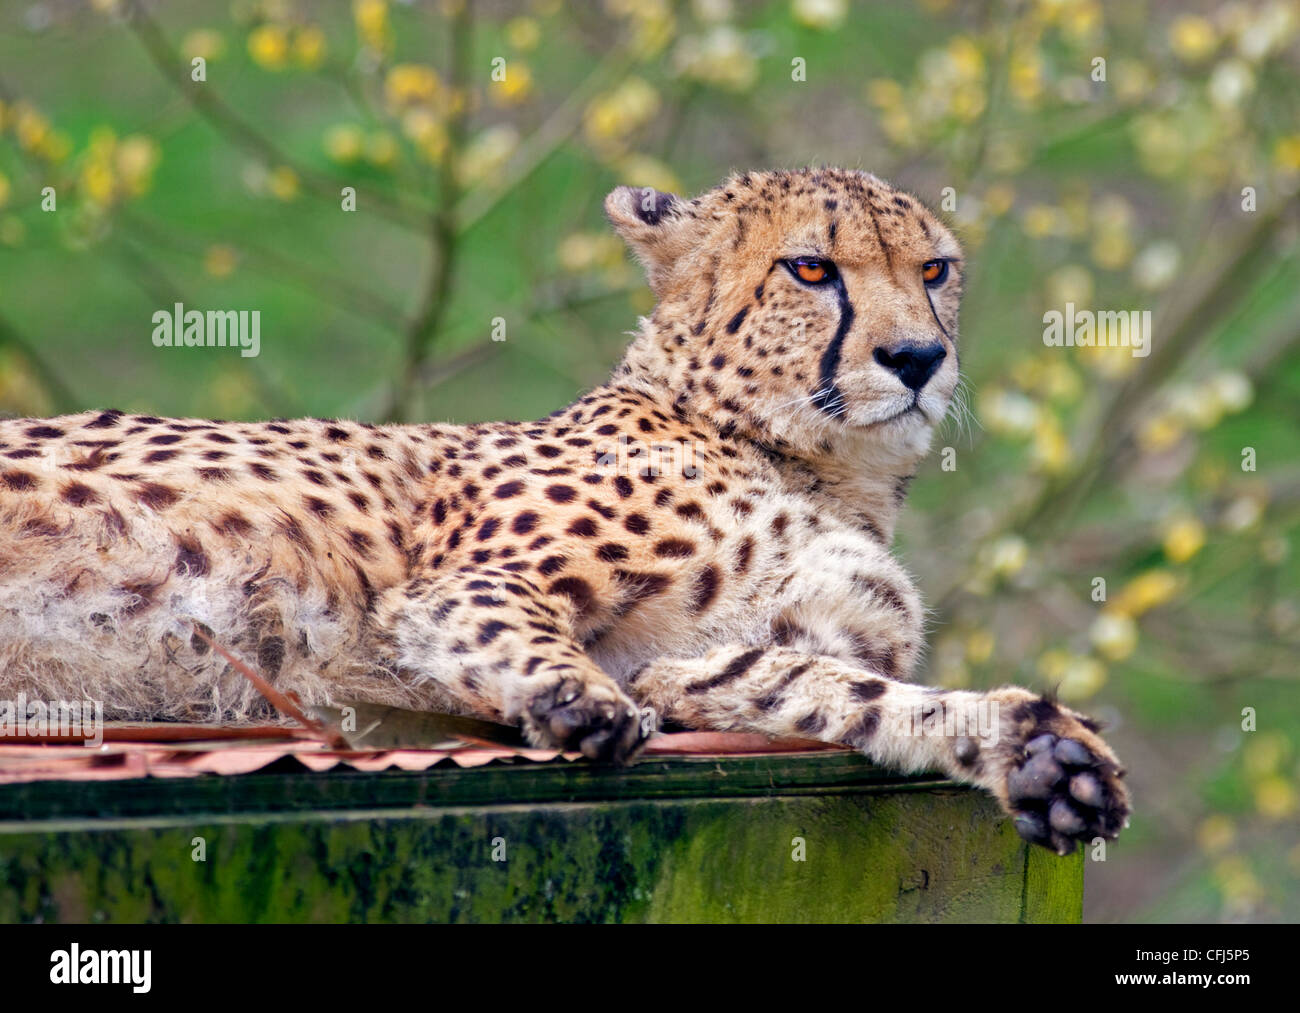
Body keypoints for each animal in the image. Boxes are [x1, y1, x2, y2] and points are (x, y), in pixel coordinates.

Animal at [0, 167, 1128, 855]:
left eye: (933, 271)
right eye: (811, 268)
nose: (918, 357)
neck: (815, 463)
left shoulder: (700, 663)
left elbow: (843, 692)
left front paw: (1032, 749)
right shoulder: (463, 585)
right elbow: (515, 623)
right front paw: (573, 700)